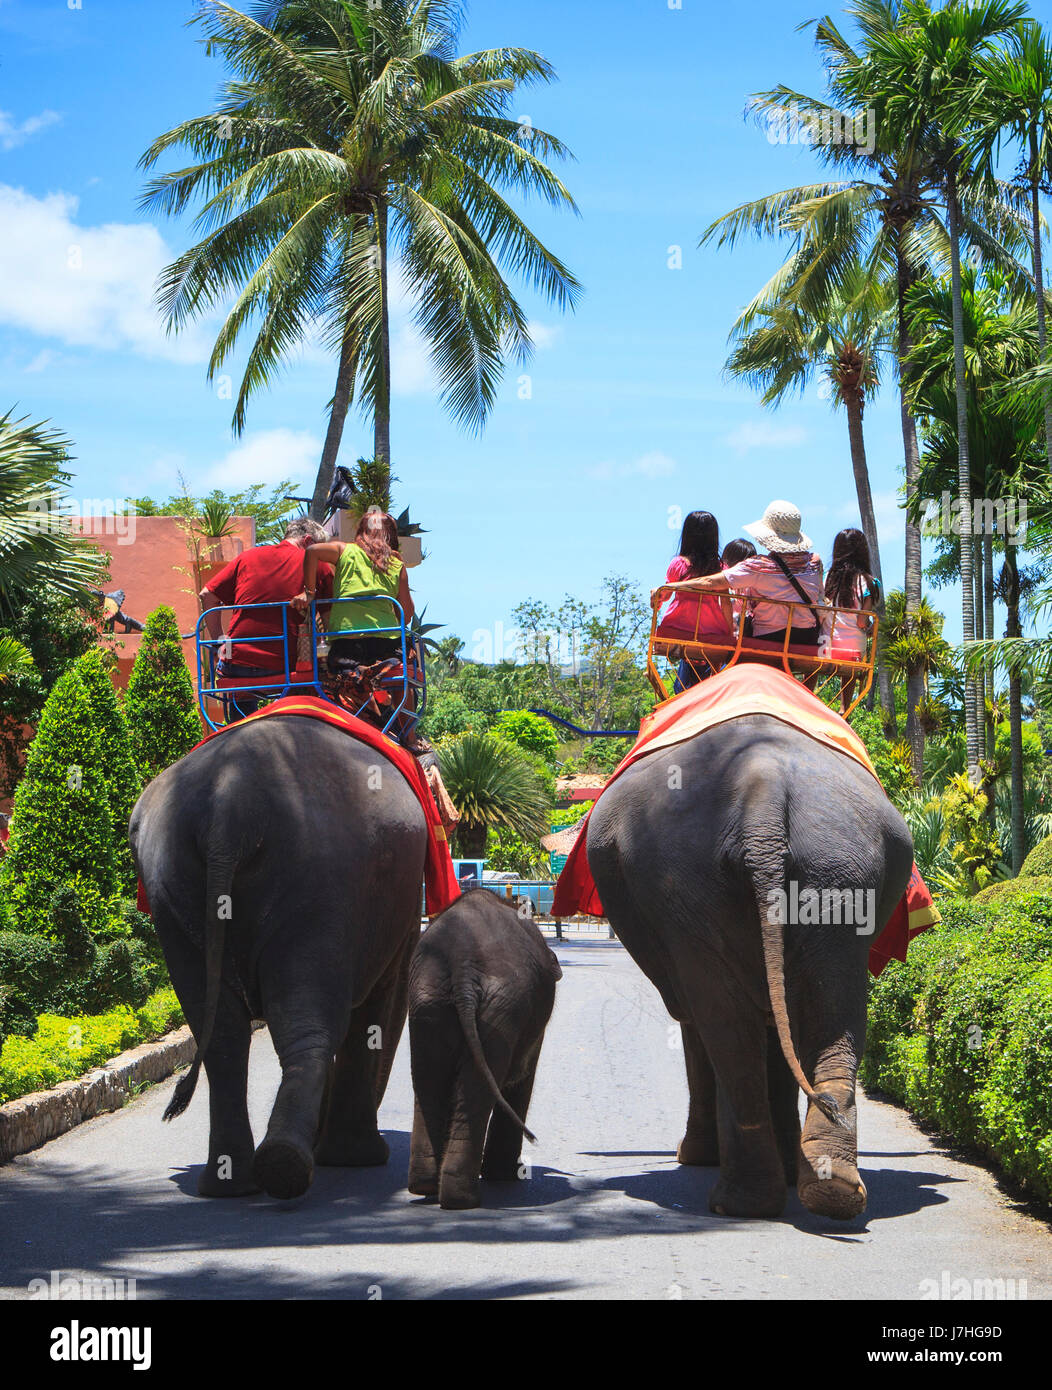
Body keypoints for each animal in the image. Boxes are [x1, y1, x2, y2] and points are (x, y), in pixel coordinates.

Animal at [129, 715, 427, 1201]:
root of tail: (228, 809)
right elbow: (378, 1011)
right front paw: (357, 1157)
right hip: (319, 883)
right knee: (306, 1024)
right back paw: (292, 1165)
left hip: (168, 886)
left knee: (223, 1033)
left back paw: (231, 1182)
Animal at [407, 888, 562, 1209]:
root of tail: (462, 965)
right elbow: (522, 1078)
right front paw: (506, 1176)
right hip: (503, 1007)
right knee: (476, 1089)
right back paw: (462, 1198)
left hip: (428, 1001)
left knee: (429, 1079)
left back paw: (426, 1187)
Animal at [585, 714, 913, 1221]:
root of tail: (763, 789)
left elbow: (704, 1023)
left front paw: (699, 1158)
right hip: (840, 868)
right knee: (829, 1005)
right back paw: (830, 1188)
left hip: (692, 881)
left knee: (723, 1023)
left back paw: (740, 1201)